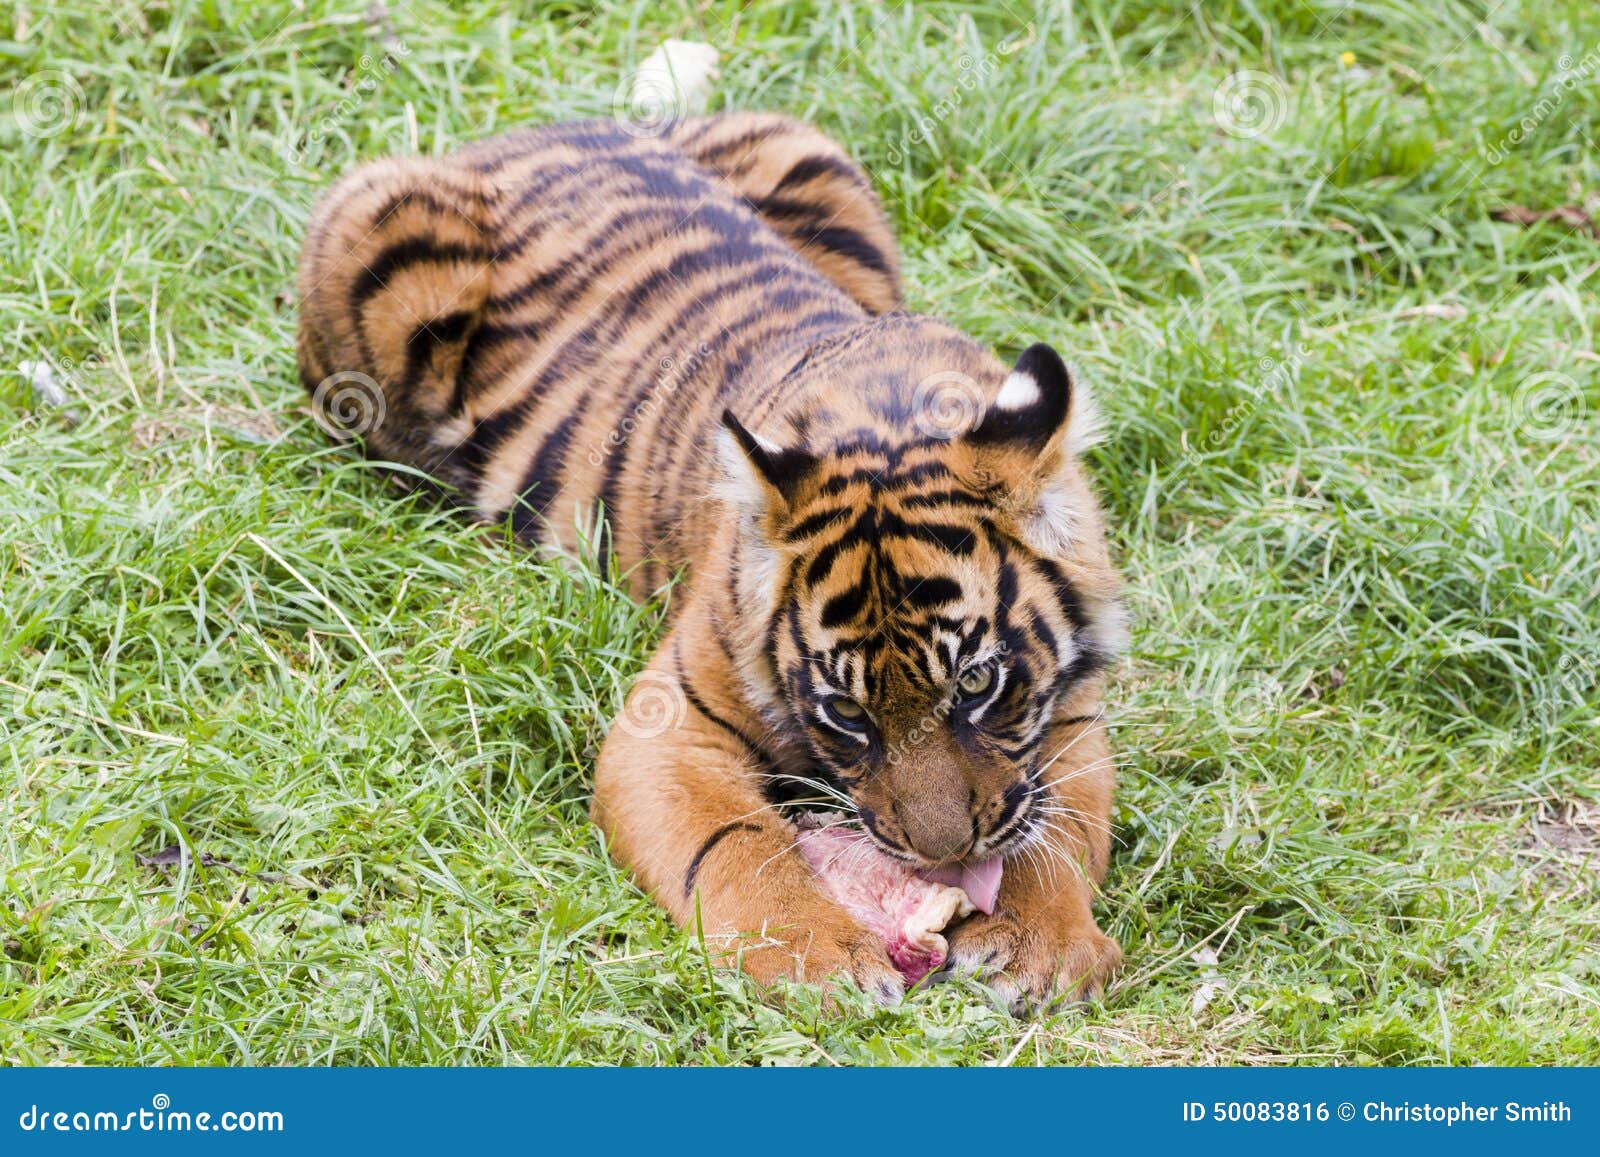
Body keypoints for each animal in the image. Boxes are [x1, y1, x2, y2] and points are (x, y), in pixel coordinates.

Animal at [296, 113, 1127, 1010]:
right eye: (847, 712)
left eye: (976, 685)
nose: (944, 857)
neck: (889, 411)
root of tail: (542, 125)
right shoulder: (668, 729)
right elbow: (738, 843)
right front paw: (816, 957)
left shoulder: (1073, 718)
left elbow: (1061, 827)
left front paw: (1039, 944)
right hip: (372, 231)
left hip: (812, 152)